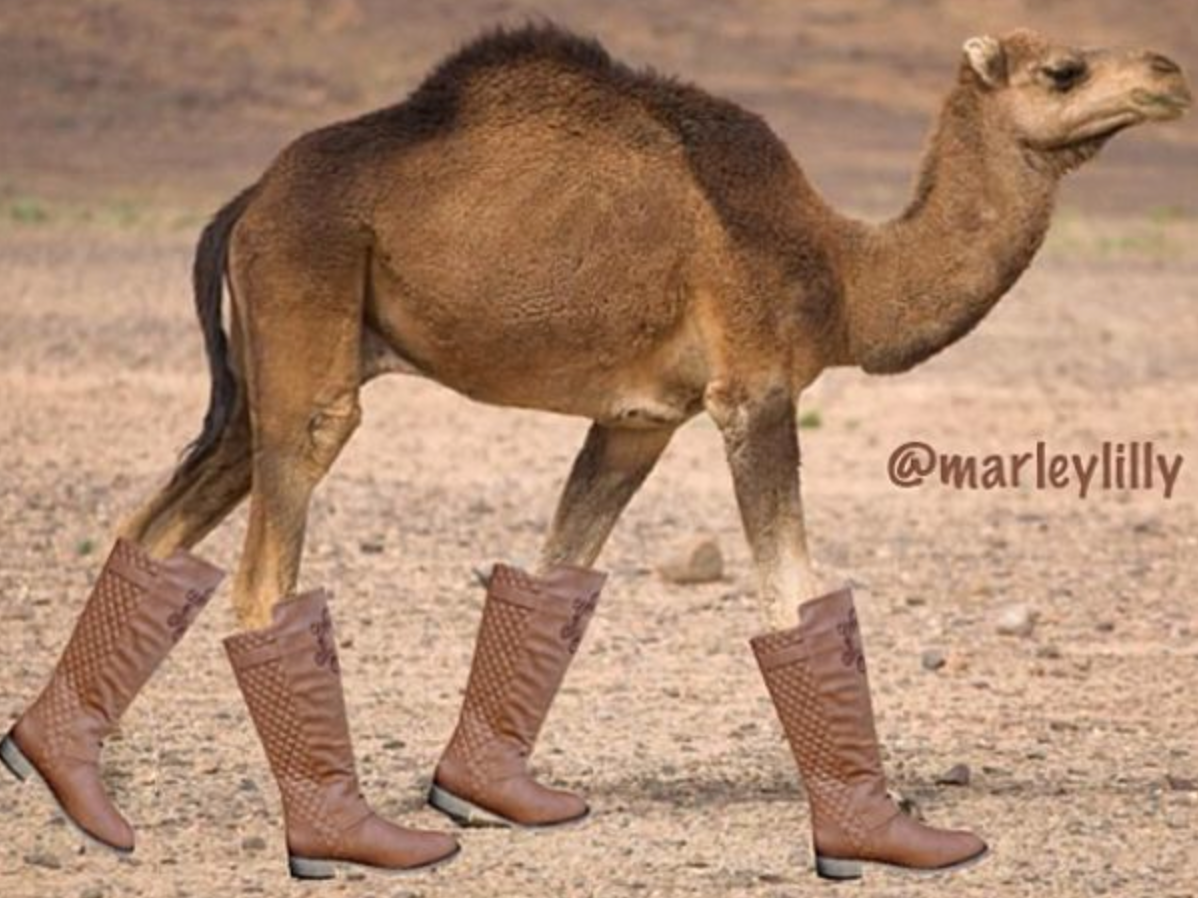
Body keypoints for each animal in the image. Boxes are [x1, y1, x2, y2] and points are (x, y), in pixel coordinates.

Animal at [3, 23, 1189, 881]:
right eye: (1063, 67)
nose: (1170, 72)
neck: (841, 268)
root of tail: (249, 198)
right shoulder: (752, 390)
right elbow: (797, 598)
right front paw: (874, 839)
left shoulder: (638, 418)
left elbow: (558, 570)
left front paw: (486, 794)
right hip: (309, 317)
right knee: (263, 568)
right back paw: (341, 844)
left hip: (262, 380)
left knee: (156, 528)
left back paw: (69, 783)